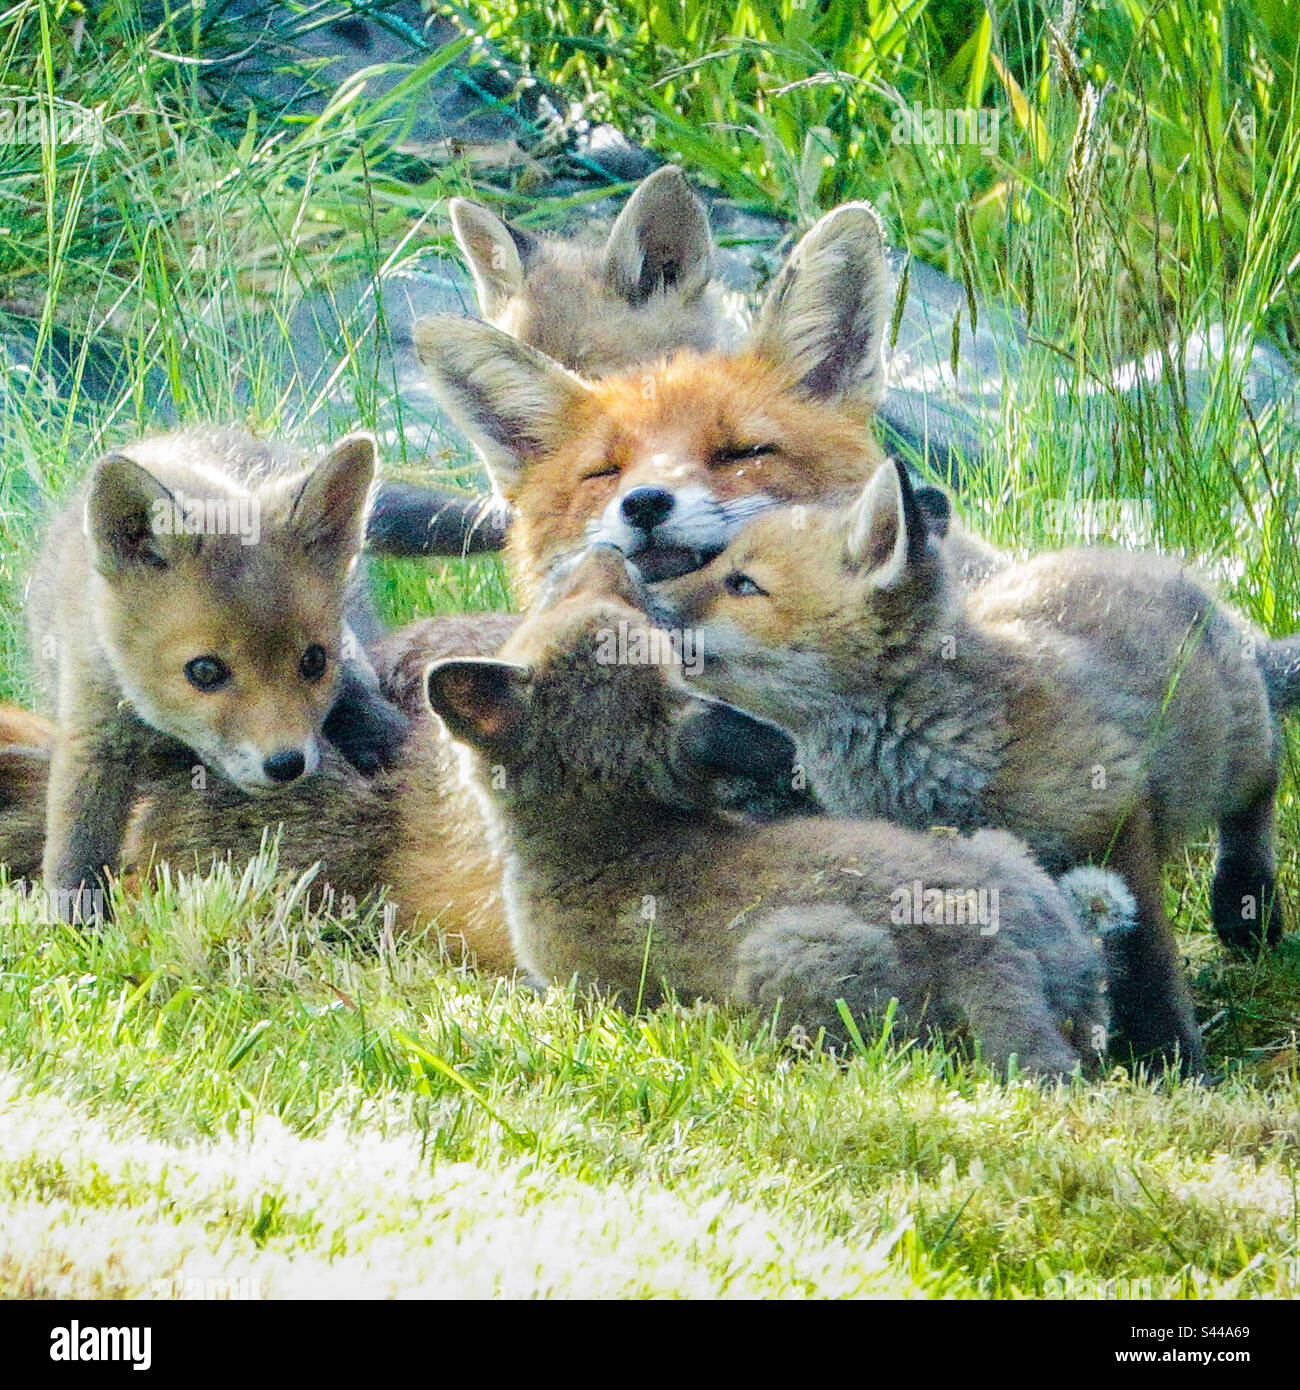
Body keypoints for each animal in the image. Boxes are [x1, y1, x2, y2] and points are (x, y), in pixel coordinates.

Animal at [25, 427, 394, 920]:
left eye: (315, 661)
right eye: (204, 671)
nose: (286, 764)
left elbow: (357, 693)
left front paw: (384, 738)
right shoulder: (93, 728)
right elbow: (75, 848)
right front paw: (76, 925)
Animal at [422, 546, 1132, 1079]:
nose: (609, 553)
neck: (612, 843)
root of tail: (988, 948)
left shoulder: (585, 996)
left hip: (783, 962)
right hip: (992, 849)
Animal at [653, 458, 1295, 1072]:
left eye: (743, 583)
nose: (644, 595)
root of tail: (1182, 578)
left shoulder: (1113, 819)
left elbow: (1149, 970)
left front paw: (1173, 1060)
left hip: (1235, 756)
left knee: (1262, 786)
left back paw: (1248, 901)